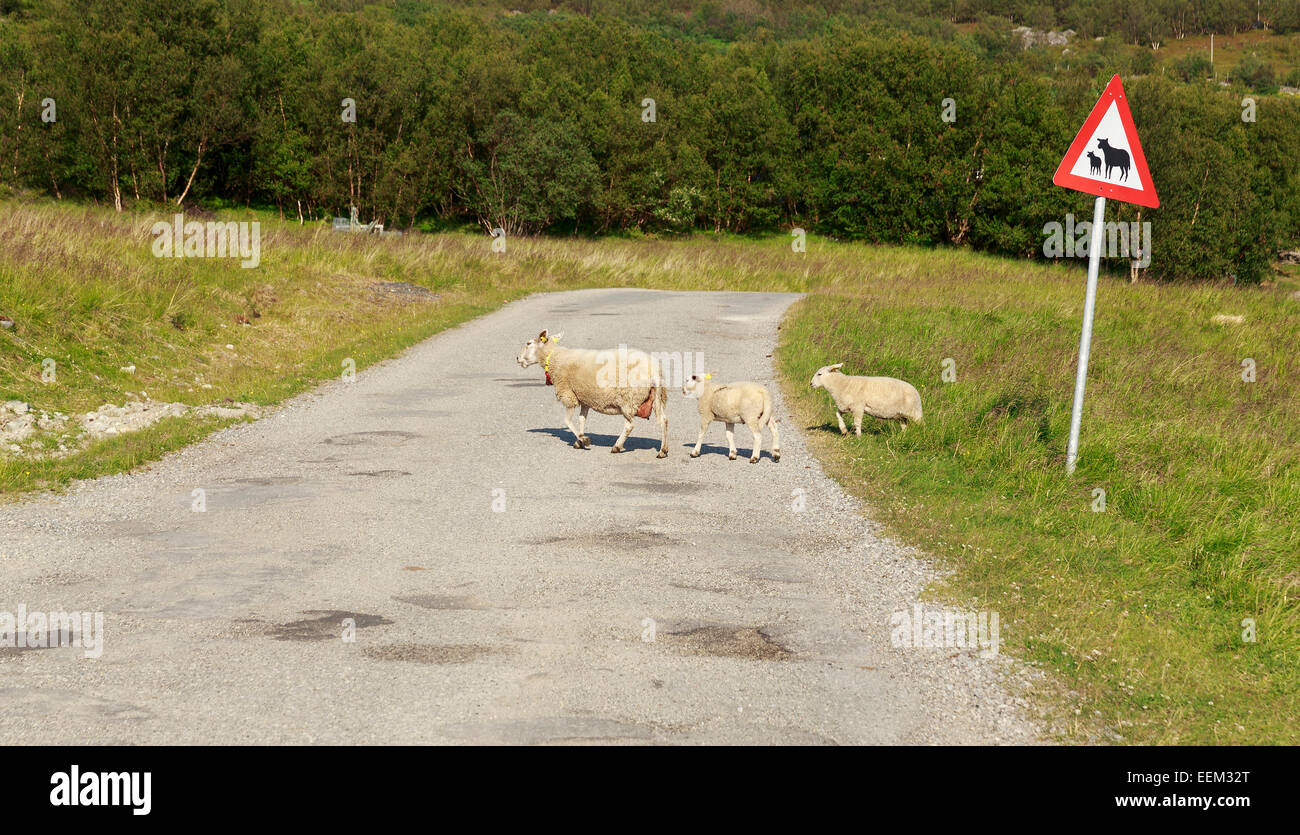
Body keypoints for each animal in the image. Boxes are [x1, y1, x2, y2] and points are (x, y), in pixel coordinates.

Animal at [516, 330, 668, 457]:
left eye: (528, 343)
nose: (517, 358)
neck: (555, 358)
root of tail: (654, 370)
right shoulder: (584, 398)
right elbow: (582, 419)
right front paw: (579, 440)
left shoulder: (569, 395)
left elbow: (567, 421)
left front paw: (584, 440)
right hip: (657, 397)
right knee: (664, 420)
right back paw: (663, 450)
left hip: (628, 399)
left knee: (629, 425)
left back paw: (617, 447)